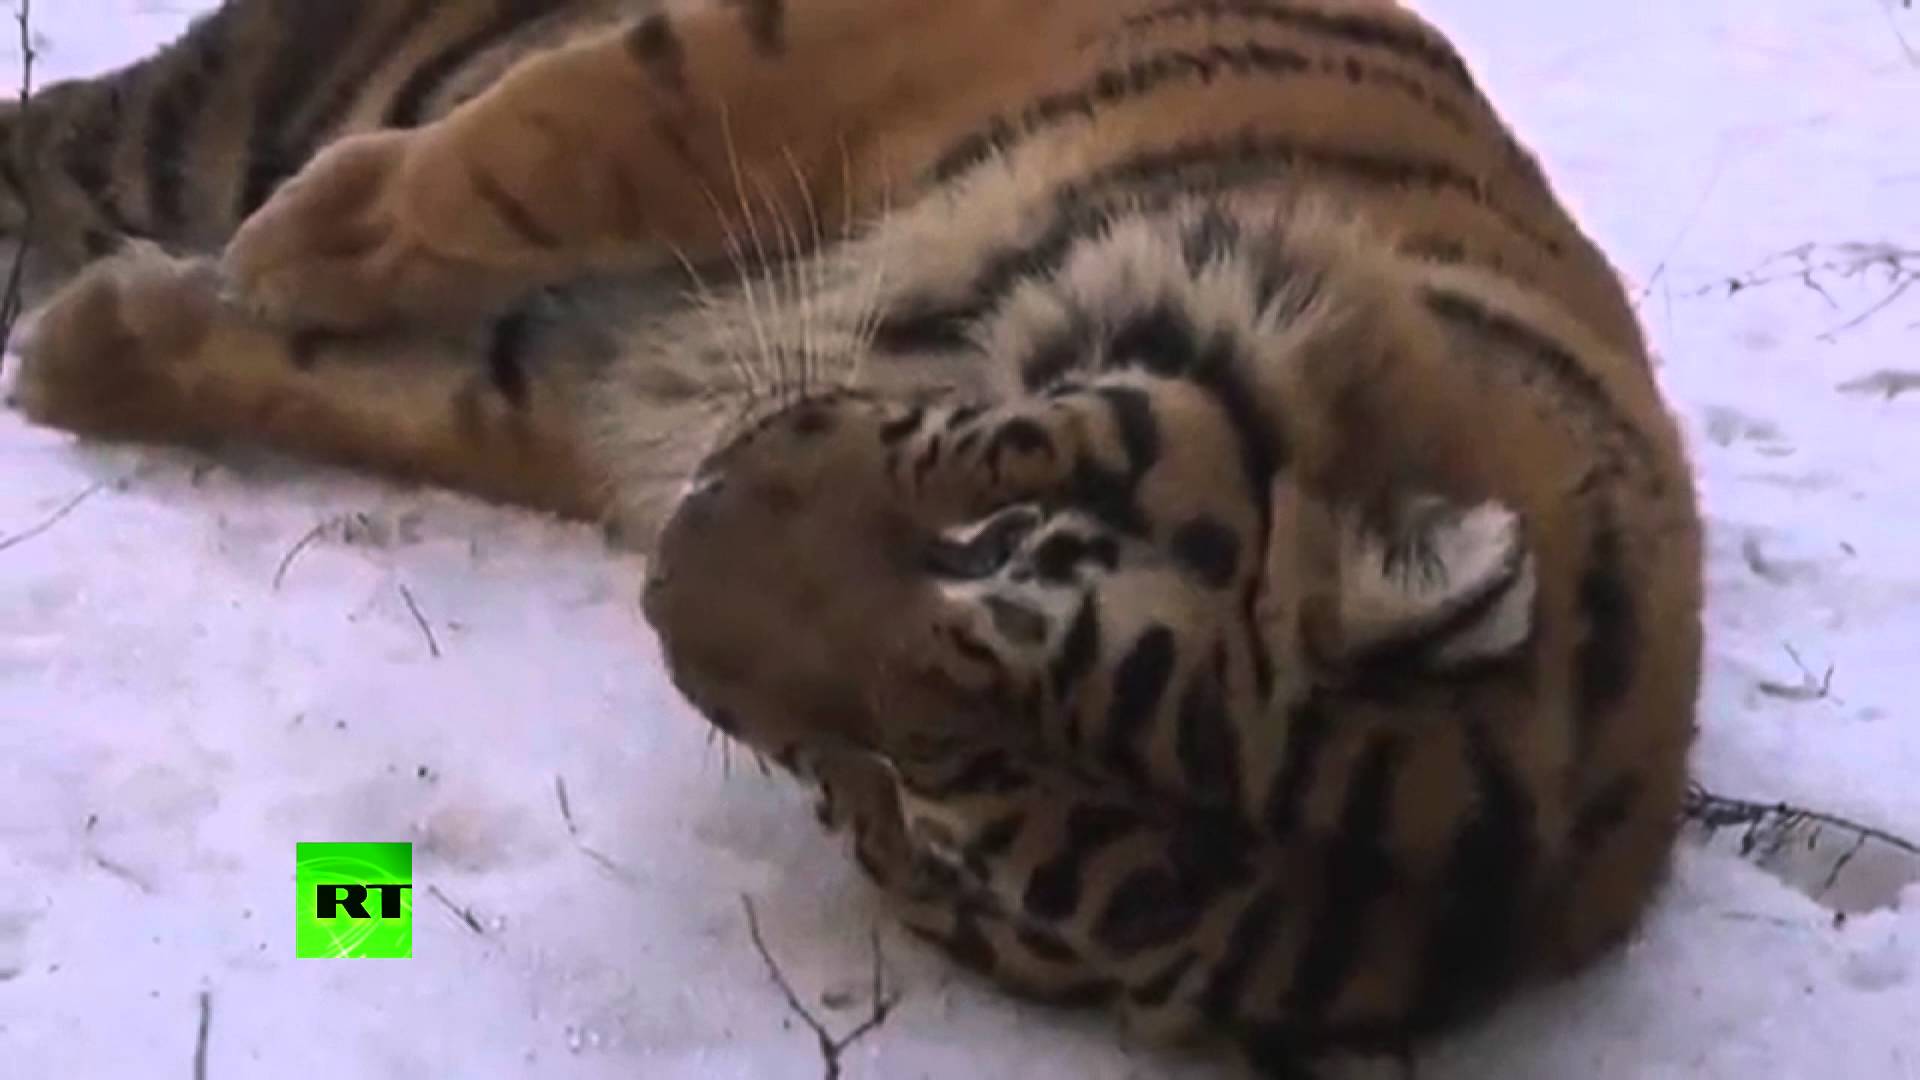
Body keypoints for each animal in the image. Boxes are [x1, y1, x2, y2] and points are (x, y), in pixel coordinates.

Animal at [2, 0, 1704, 1073]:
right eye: (996, 530)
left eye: (893, 804)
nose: (673, 565)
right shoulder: (864, 42)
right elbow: (570, 136)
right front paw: (291, 246)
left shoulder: (574, 380)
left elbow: (361, 385)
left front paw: (109, 339)